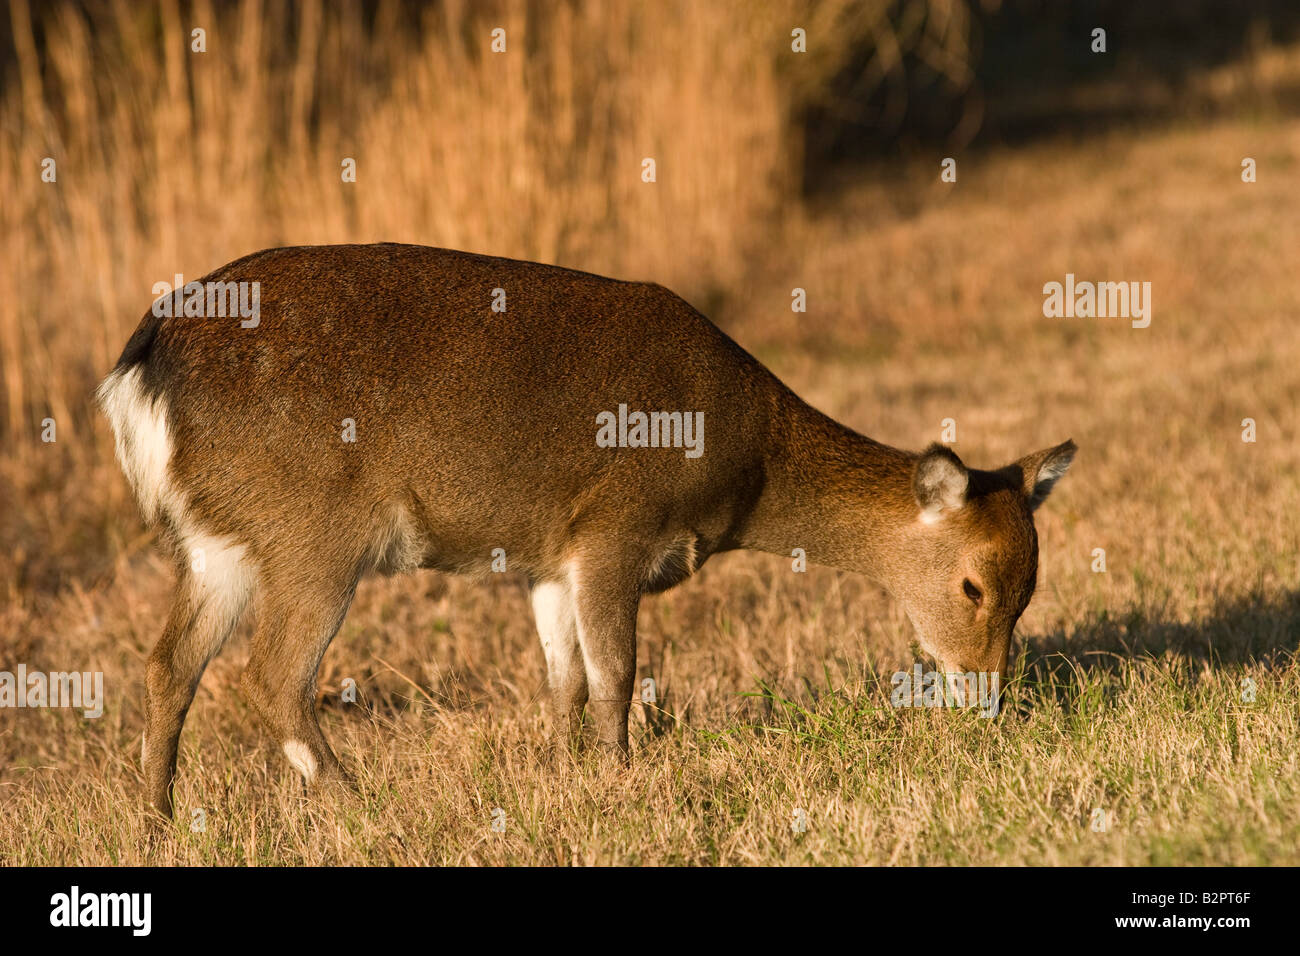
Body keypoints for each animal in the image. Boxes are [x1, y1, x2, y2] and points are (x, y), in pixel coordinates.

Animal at [98, 243, 1075, 819]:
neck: (744, 462)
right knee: (270, 673)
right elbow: (618, 674)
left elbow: (563, 678)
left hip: (219, 539)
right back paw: (365, 805)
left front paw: (564, 774)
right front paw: (622, 779)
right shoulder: (615, 524)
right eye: (973, 584)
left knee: (169, 662)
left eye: (1029, 593)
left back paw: (157, 821)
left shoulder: (547, 554)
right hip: (313, 528)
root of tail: (136, 374)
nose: (989, 700)